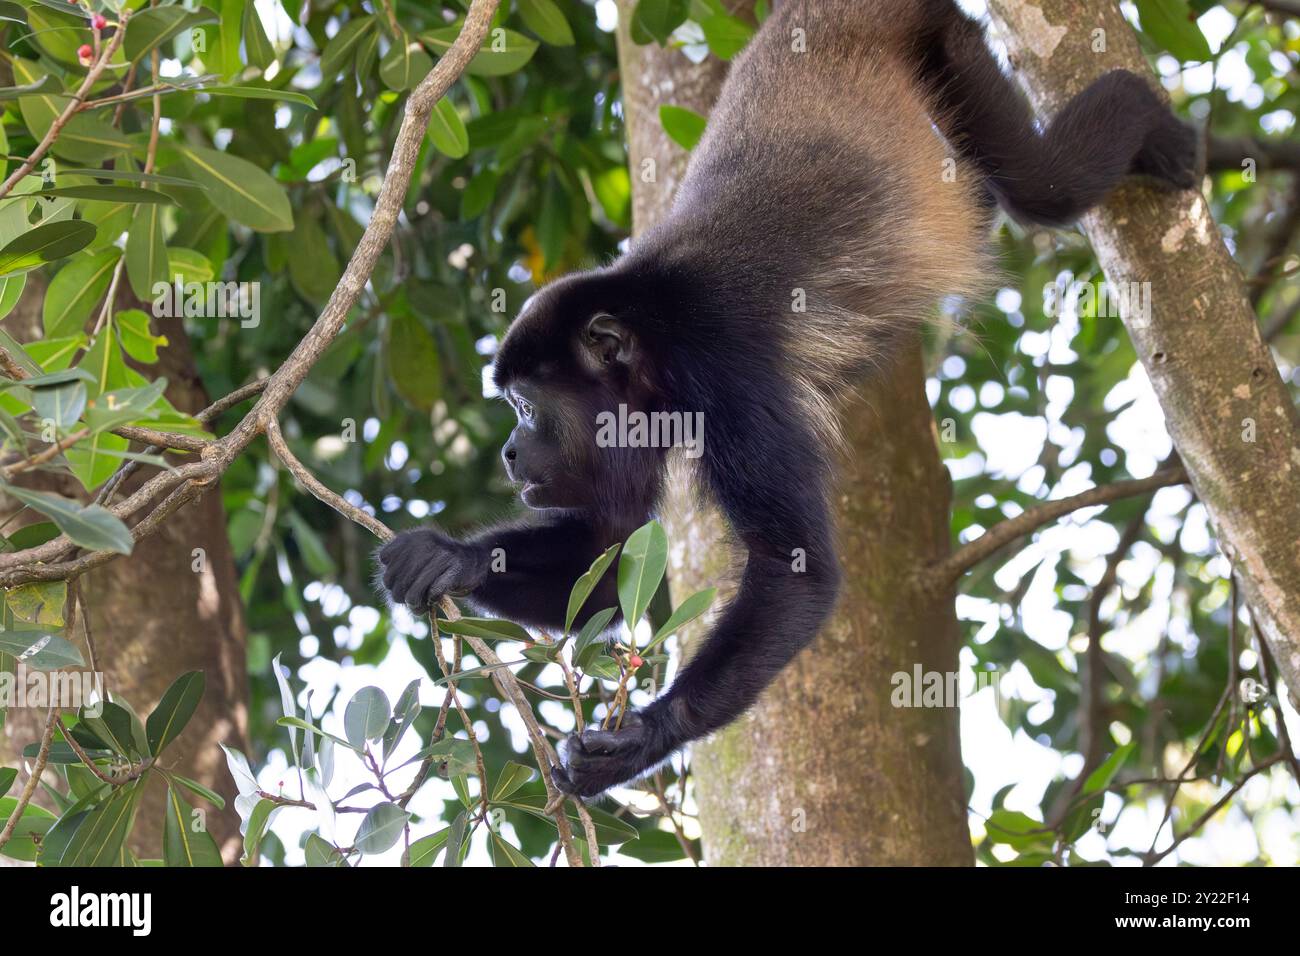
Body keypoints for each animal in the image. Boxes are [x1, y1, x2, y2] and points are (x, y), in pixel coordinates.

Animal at [379, 0, 1198, 798]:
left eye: (525, 407)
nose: (509, 451)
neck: (654, 346)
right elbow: (605, 556)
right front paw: (448, 558)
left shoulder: (729, 380)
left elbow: (795, 571)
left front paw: (646, 736)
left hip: (940, 36)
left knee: (1042, 188)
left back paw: (1152, 121)